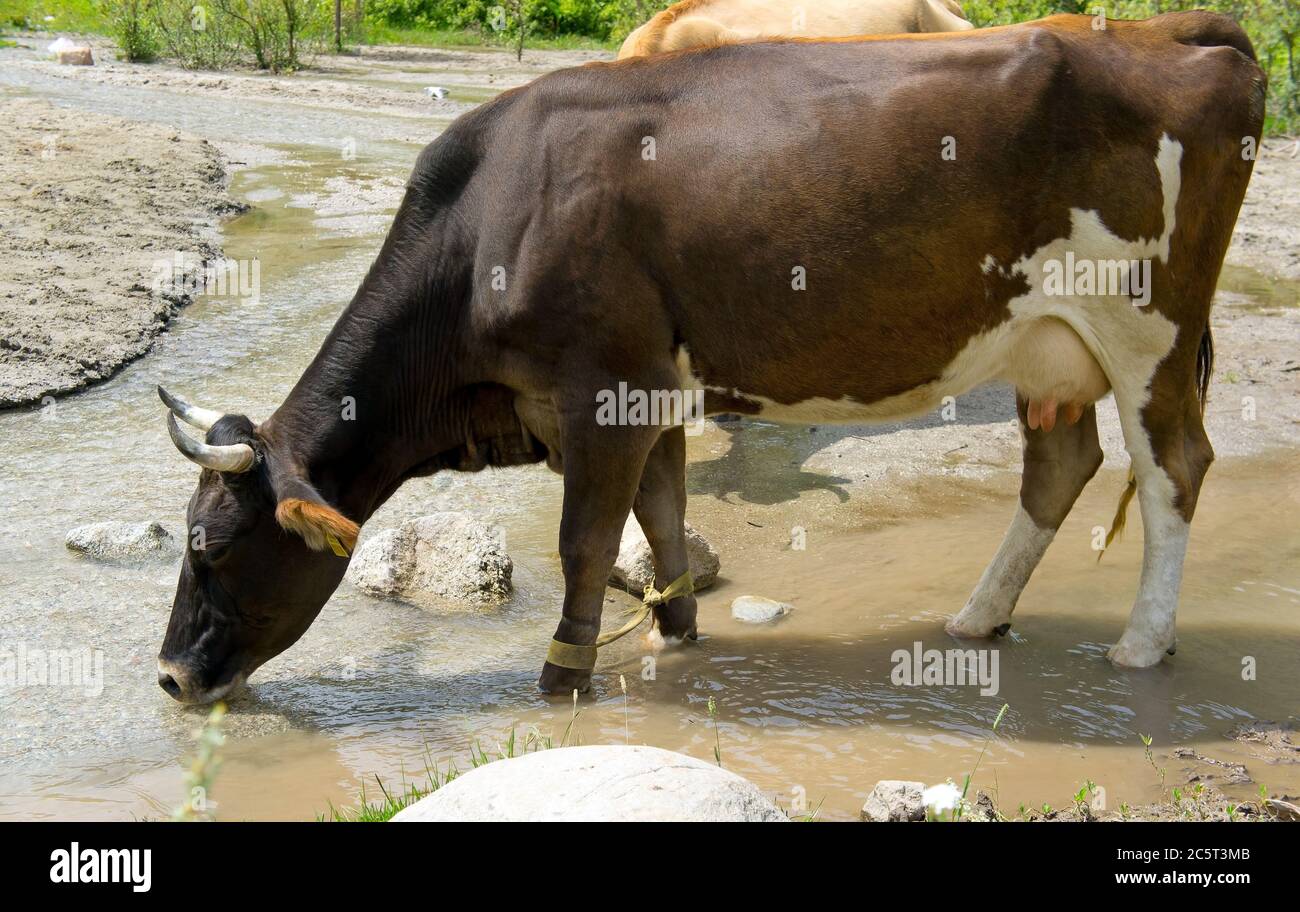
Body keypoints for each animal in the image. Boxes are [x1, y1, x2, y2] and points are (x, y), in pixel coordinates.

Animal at [156, 13, 1264, 705]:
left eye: (209, 549)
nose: (170, 679)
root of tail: (1173, 29)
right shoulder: (653, 391)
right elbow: (665, 518)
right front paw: (674, 636)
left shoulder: (600, 391)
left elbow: (587, 543)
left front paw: (561, 680)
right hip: (1049, 345)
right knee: (1061, 466)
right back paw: (976, 619)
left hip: (1148, 329)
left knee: (1174, 468)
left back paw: (1140, 644)